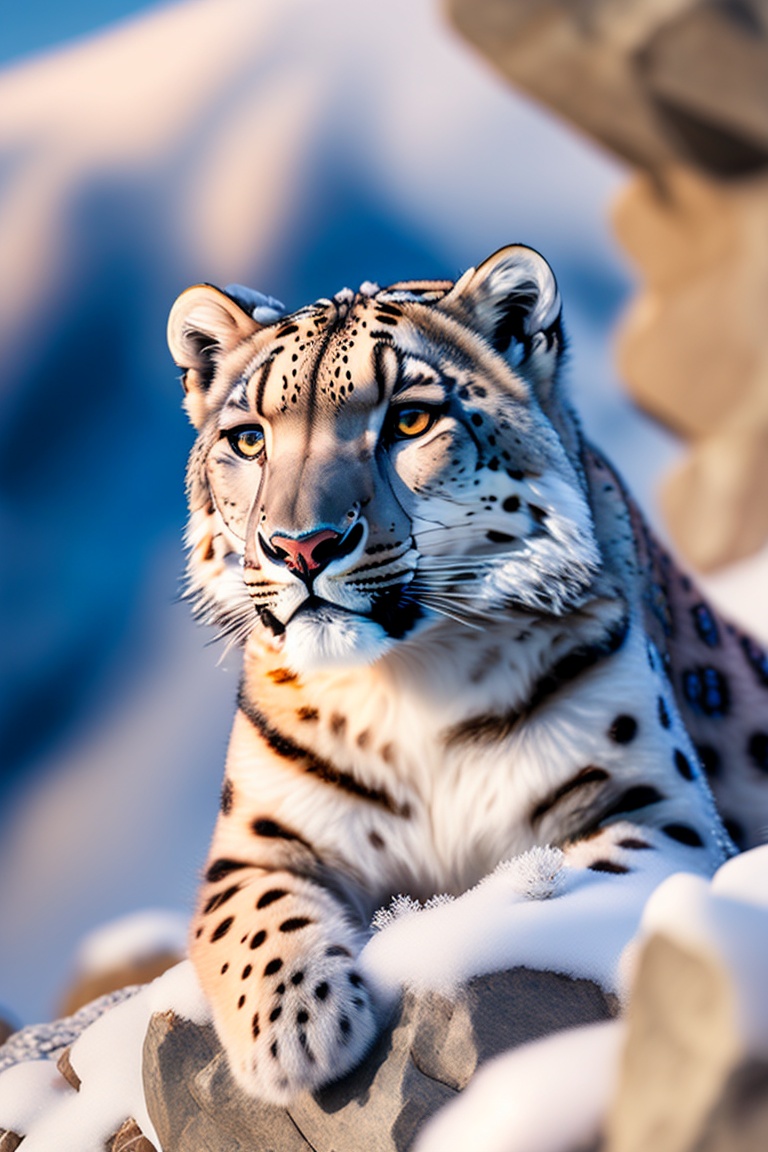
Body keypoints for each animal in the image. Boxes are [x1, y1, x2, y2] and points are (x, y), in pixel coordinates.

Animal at [167, 244, 768, 1105]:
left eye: (410, 419)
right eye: (248, 439)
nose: (302, 546)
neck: (406, 686)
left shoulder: (652, 804)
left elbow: (561, 883)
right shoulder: (258, 835)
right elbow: (242, 917)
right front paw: (296, 1029)